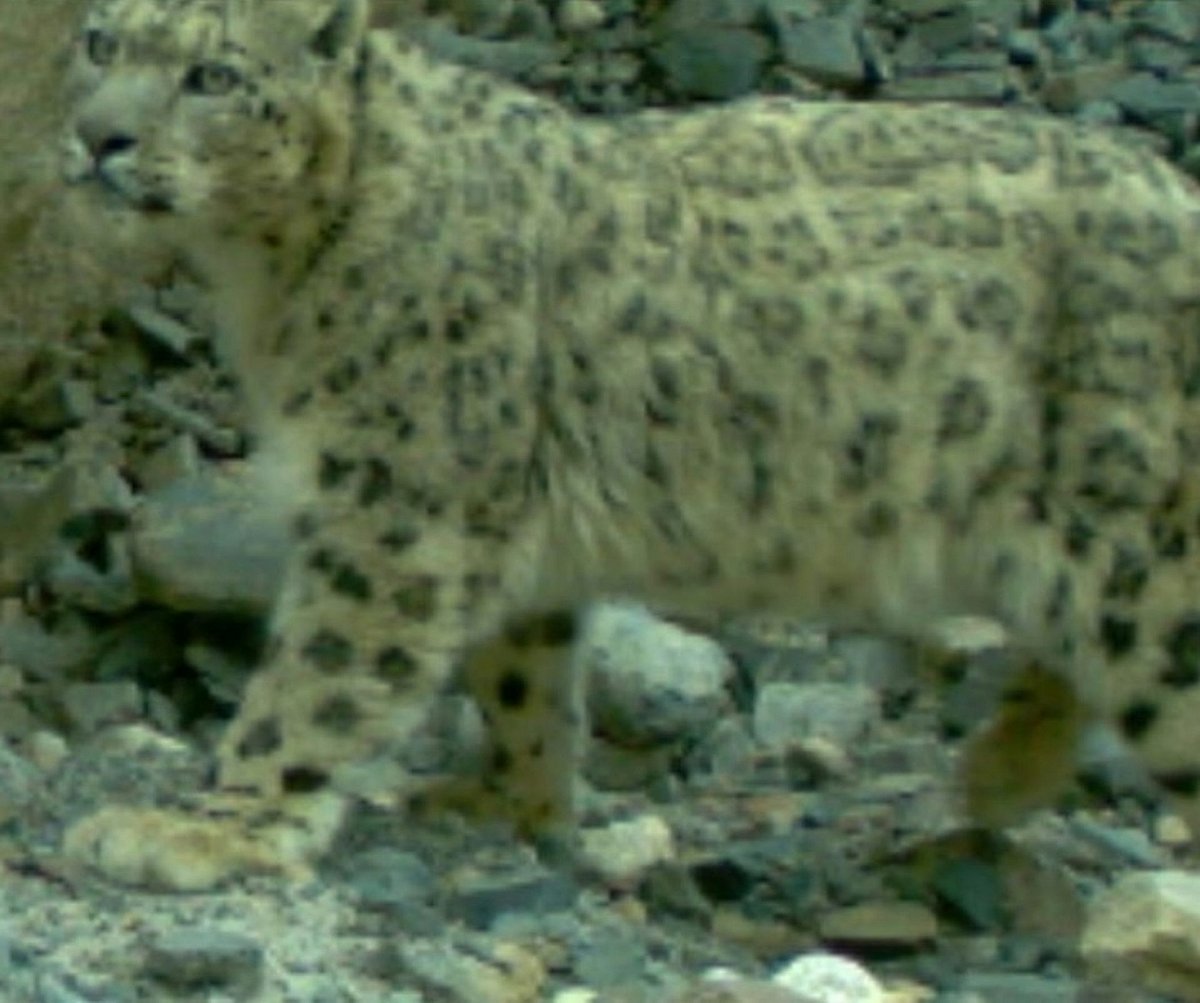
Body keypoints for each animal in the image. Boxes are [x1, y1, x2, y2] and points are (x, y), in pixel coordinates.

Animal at [58, 0, 1200, 890]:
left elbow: (320, 676)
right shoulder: (490, 518)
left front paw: (207, 826)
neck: (268, 279)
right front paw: (509, 799)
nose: (97, 137)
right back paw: (1003, 772)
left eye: (212, 74)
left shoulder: (400, 506)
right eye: (101, 41)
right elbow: (524, 673)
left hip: (1148, 559)